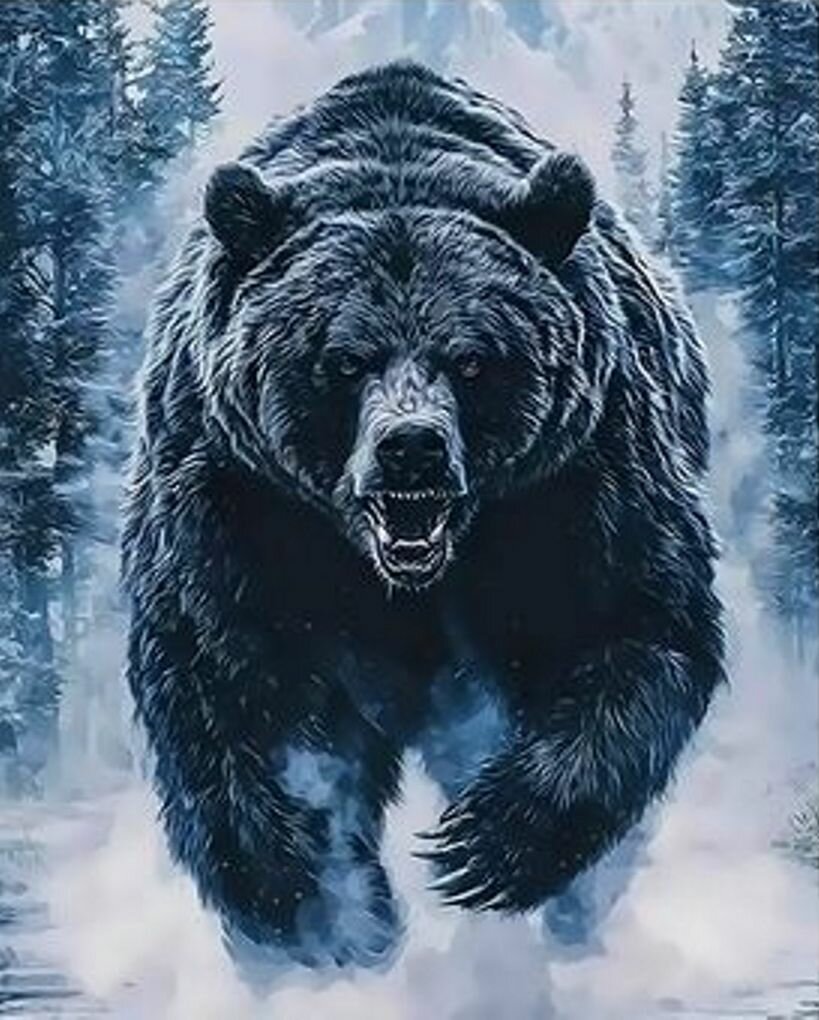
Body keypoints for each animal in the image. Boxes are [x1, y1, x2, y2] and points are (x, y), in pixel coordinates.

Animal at [122, 60, 724, 969]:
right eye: (343, 360)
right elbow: (230, 680)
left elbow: (632, 625)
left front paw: (484, 847)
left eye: (471, 360)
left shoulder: (575, 485)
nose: (412, 448)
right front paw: (319, 912)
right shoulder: (240, 506)